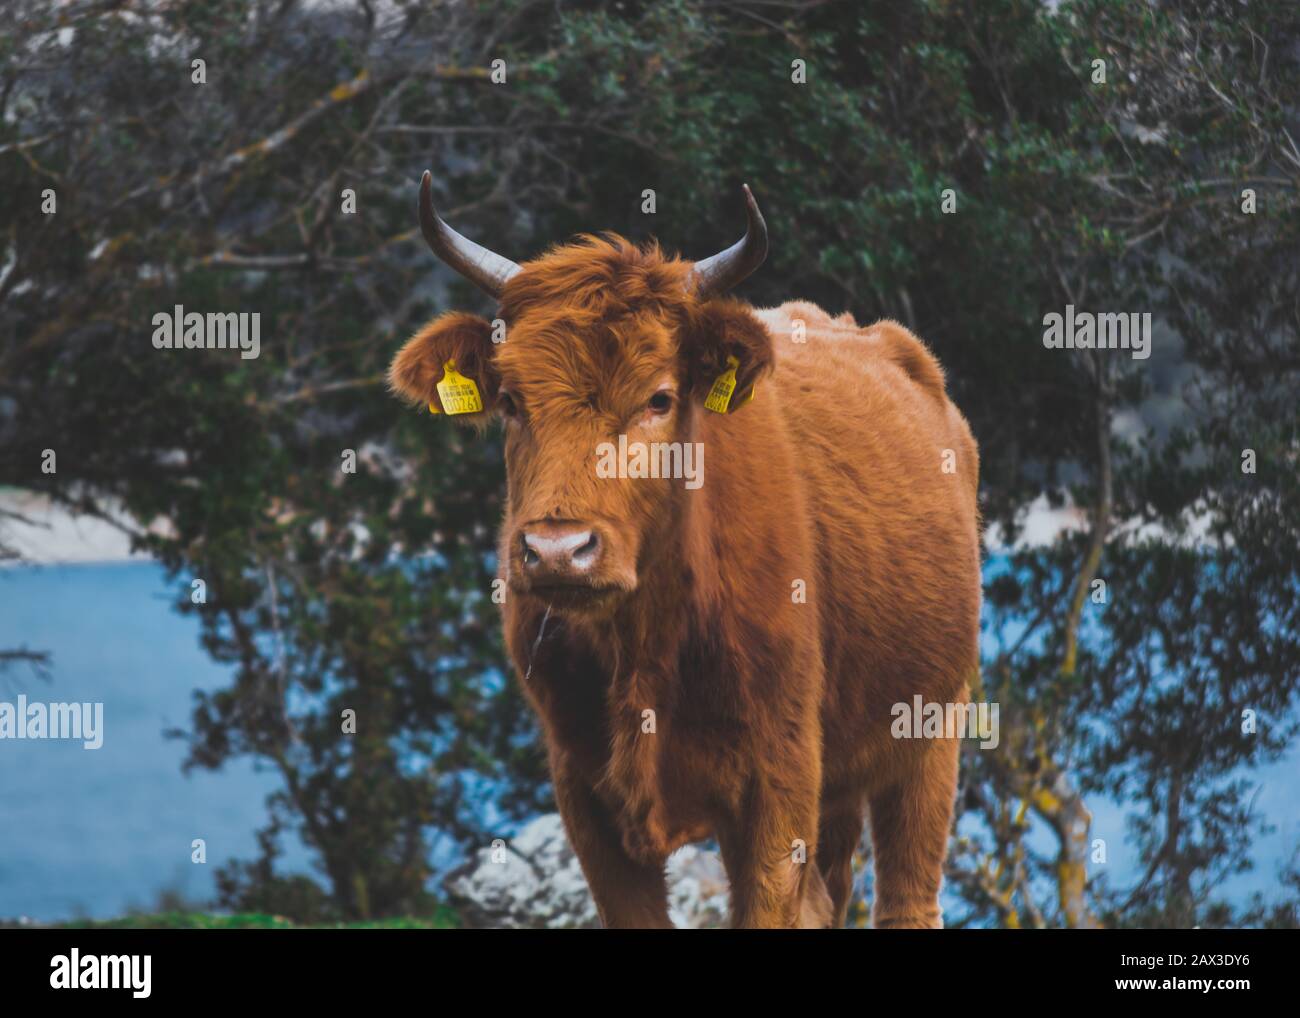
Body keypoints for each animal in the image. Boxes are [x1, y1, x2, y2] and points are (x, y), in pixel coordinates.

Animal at [389, 171, 982, 928]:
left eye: (659, 398)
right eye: (514, 401)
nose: (557, 550)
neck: (648, 641)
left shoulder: (777, 788)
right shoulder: (583, 796)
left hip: (930, 735)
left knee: (906, 893)